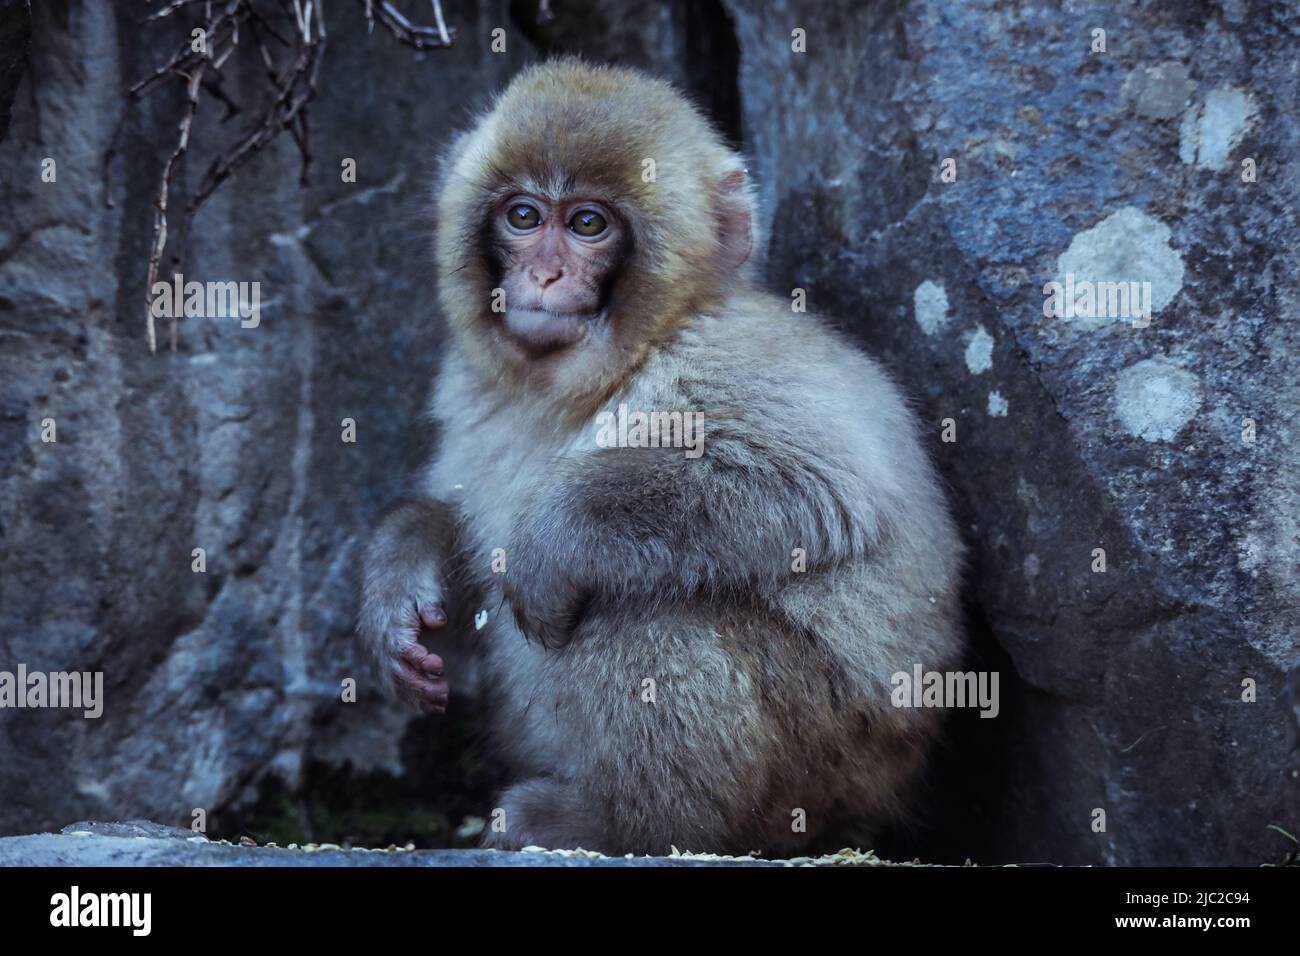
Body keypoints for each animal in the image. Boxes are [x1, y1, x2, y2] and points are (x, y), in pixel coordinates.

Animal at [358, 59, 964, 857]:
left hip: (829, 758)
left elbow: (814, 490)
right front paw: (401, 571)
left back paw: (622, 824)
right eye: (524, 217)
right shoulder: (471, 387)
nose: (543, 277)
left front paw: (549, 542)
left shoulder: (718, 358)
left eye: (588, 224)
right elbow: (452, 514)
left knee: (644, 611)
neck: (601, 372)